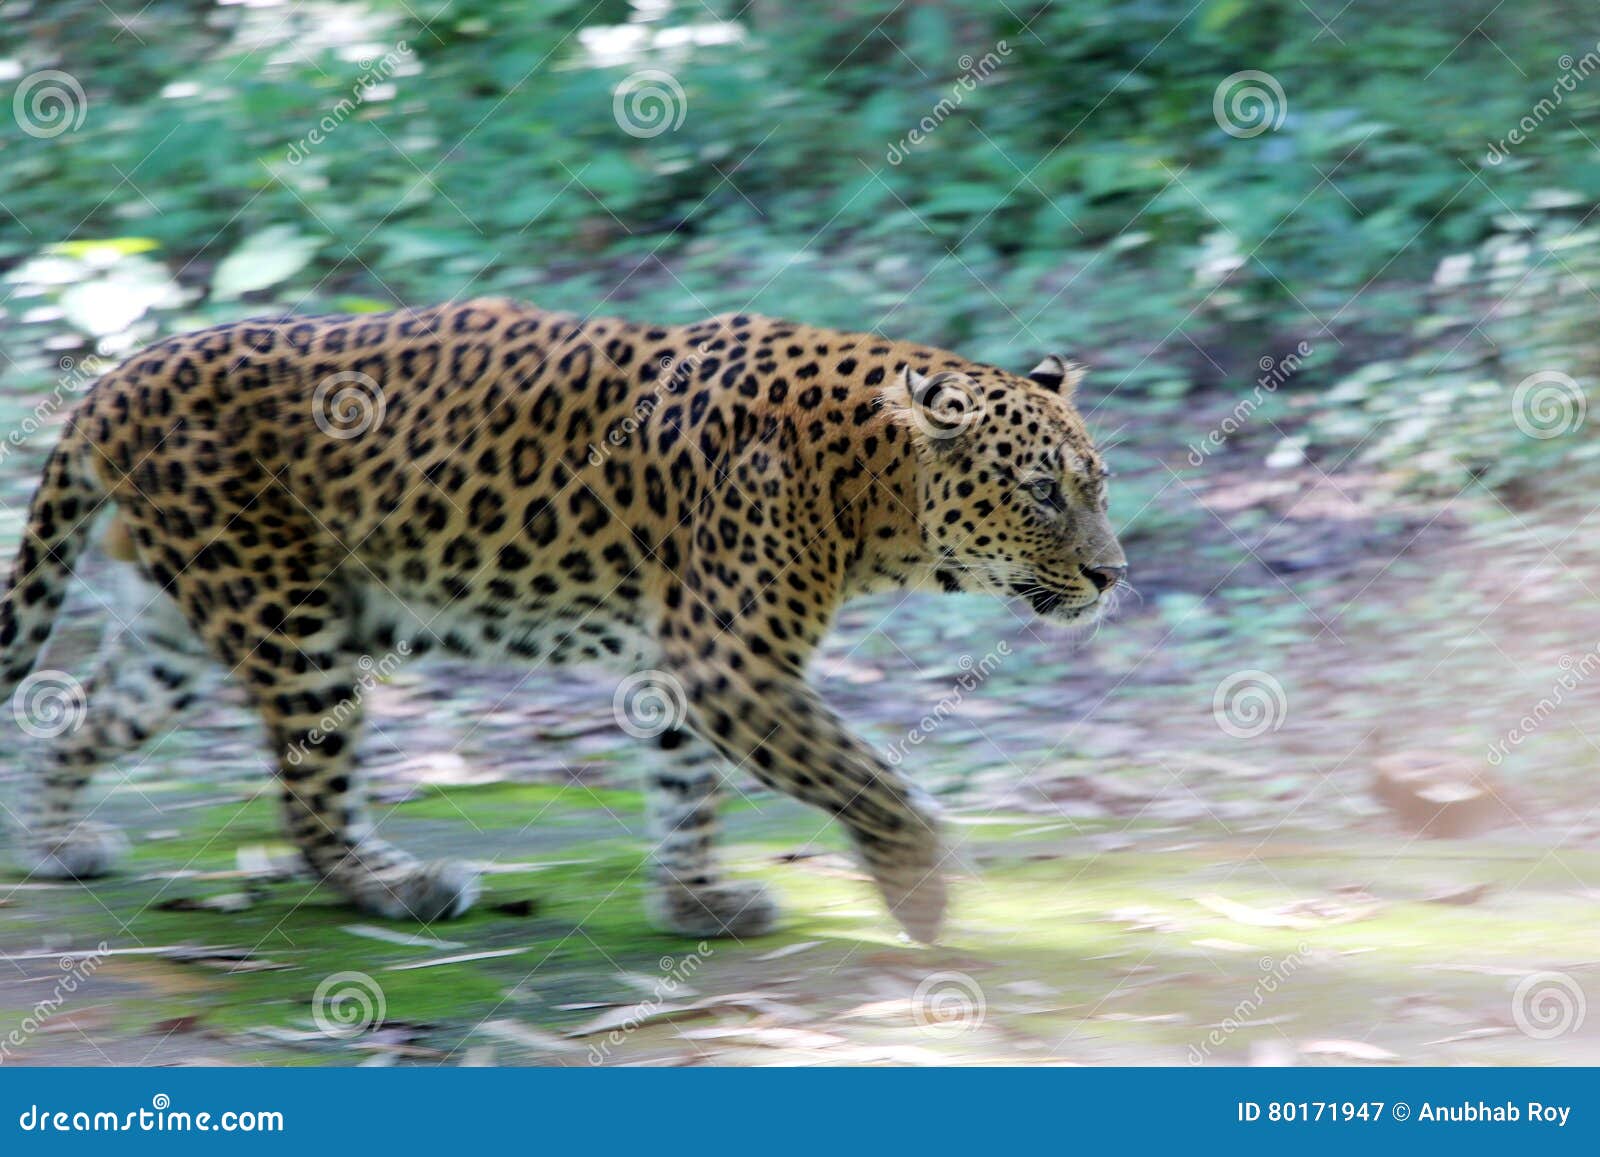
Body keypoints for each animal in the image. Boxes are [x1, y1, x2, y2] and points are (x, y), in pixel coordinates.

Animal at [0, 297, 1125, 942]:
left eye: (1097, 485)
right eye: (1040, 492)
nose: (1113, 574)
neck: (872, 494)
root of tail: (111, 379)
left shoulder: (683, 666)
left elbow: (685, 785)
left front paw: (694, 902)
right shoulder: (731, 663)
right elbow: (862, 773)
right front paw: (924, 889)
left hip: (178, 627)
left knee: (76, 719)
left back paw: (55, 841)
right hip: (287, 619)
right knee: (312, 802)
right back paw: (397, 887)